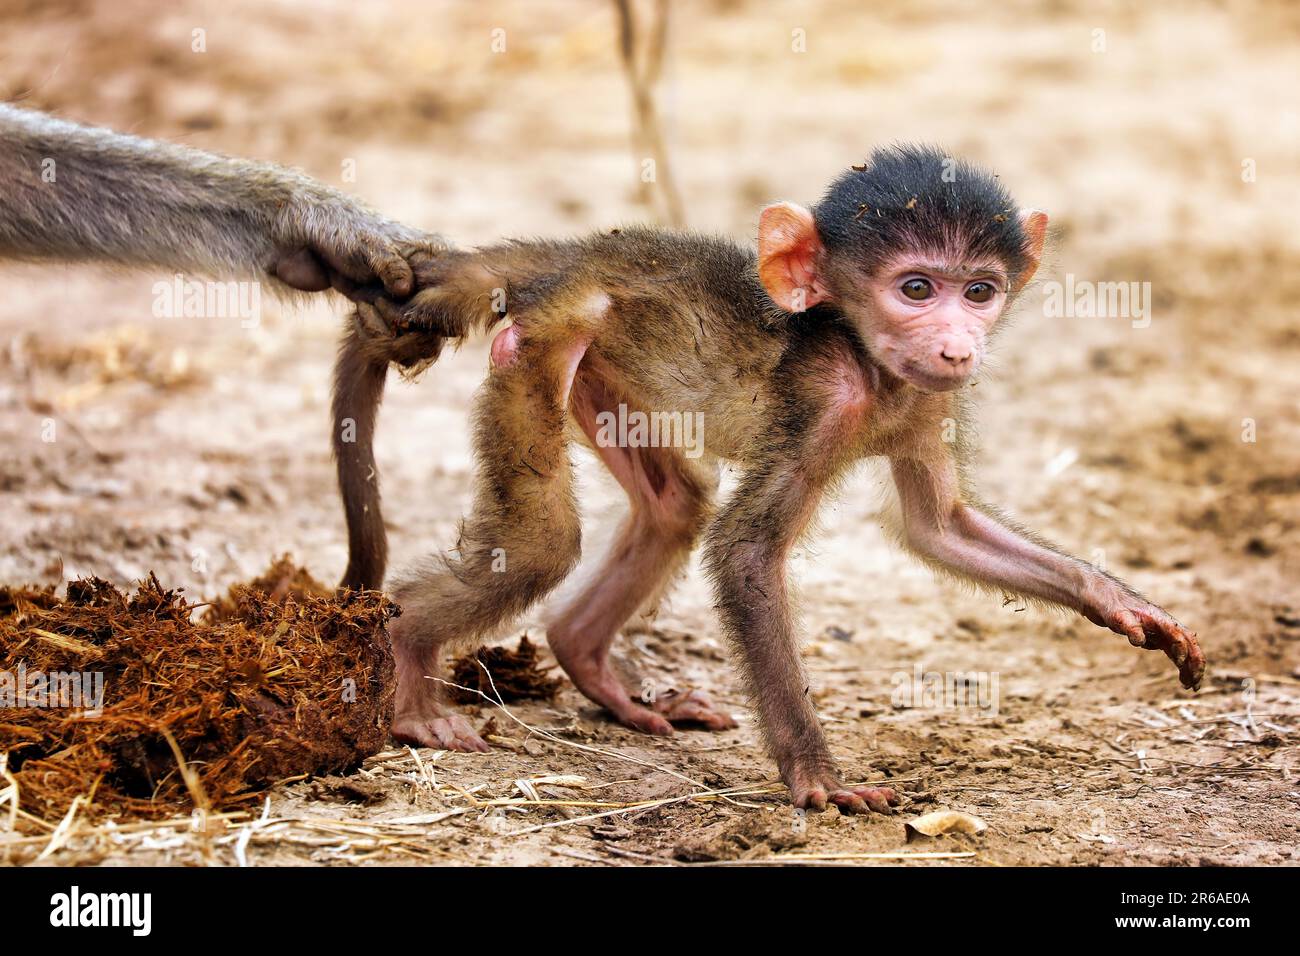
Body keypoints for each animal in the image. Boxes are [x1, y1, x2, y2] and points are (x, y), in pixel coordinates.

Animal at [335, 144, 1206, 813]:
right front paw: (817, 777)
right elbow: (747, 551)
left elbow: (939, 528)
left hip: (600, 370)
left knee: (674, 506)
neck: (862, 356)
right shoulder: (823, 404)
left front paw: (1122, 603)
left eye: (979, 291)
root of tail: (581, 257)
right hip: (542, 347)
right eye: (916, 288)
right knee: (545, 541)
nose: (958, 345)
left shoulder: (928, 399)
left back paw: (593, 667)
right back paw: (407, 661)